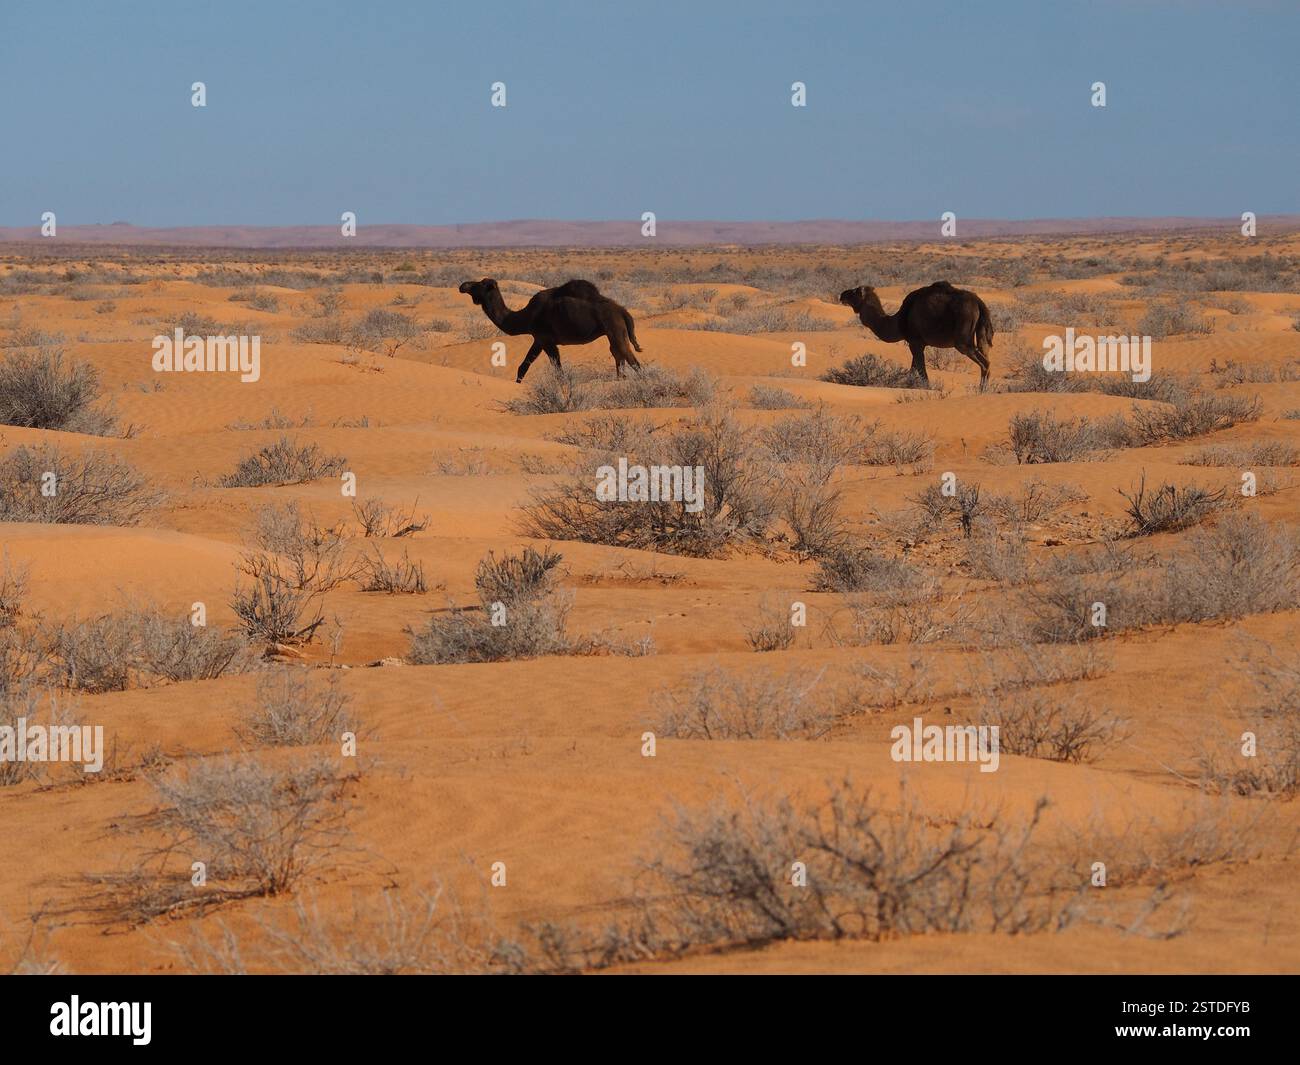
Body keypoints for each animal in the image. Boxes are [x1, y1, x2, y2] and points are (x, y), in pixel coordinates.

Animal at [457, 278, 642, 382]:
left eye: (480, 284)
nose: (463, 286)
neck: (526, 316)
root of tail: (623, 311)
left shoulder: (546, 340)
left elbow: (558, 369)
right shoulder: (539, 340)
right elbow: (523, 367)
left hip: (614, 327)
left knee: (631, 359)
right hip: (614, 332)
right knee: (618, 355)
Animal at [839, 281, 993, 388]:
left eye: (854, 291)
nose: (842, 294)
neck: (898, 321)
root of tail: (979, 302)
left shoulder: (915, 341)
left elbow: (921, 370)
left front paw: (927, 388)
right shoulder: (918, 344)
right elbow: (913, 368)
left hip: (963, 337)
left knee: (985, 363)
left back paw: (981, 391)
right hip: (980, 333)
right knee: (986, 354)